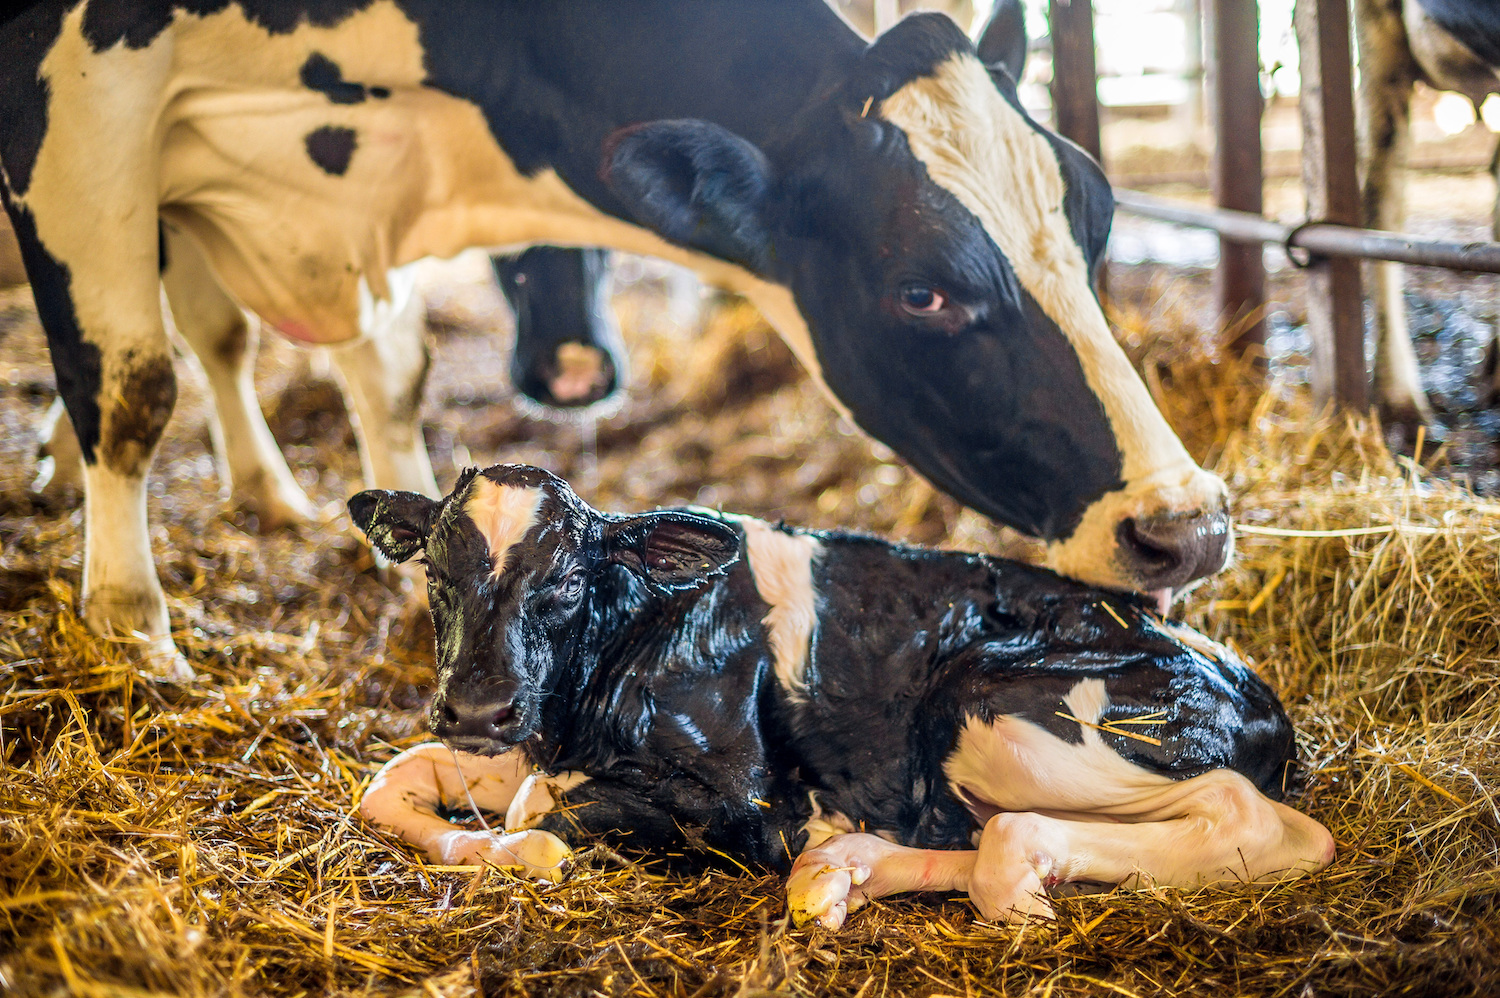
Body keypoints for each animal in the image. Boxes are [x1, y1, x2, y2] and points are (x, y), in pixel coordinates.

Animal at [0, 1, 1231, 678]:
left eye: (1098, 214)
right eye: (921, 291)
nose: (1188, 527)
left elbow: (385, 372)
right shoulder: (85, 102)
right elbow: (132, 383)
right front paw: (130, 627)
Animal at [349, 464, 1335, 926]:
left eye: (561, 584)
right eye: (434, 575)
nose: (478, 709)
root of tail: (1259, 694)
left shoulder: (746, 801)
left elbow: (532, 813)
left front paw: (526, 850)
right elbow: (394, 778)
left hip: (991, 708)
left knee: (1251, 821)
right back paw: (843, 871)